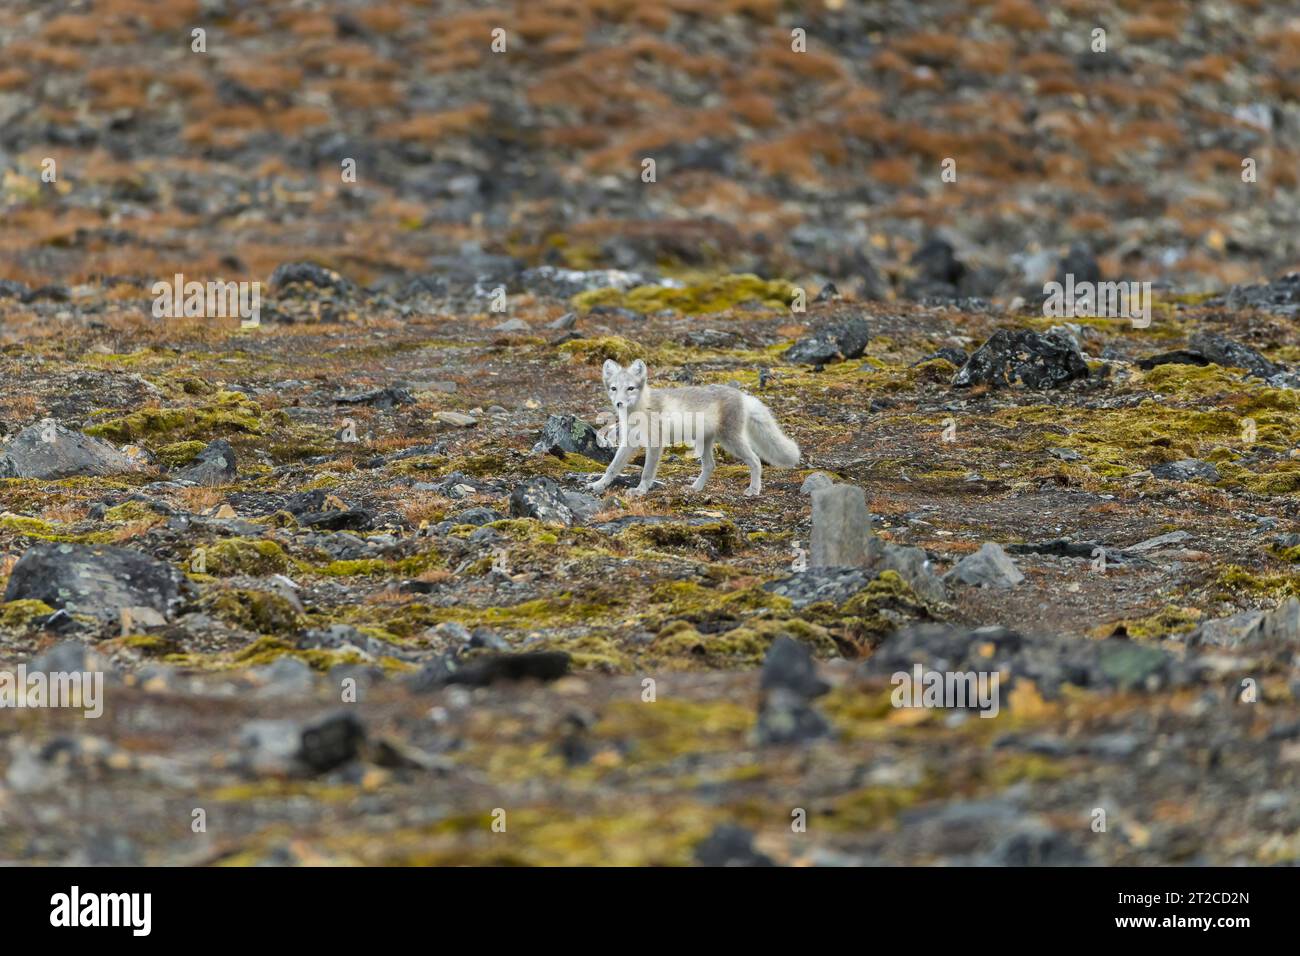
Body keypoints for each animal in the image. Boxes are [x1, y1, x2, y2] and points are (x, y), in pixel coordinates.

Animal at [589, 359, 800, 497]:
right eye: (614, 388)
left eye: (630, 388)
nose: (619, 403)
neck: (640, 410)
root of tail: (743, 396)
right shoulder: (629, 442)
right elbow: (612, 467)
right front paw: (599, 485)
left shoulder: (655, 443)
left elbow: (647, 472)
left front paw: (640, 490)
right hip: (703, 443)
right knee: (710, 465)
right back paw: (695, 488)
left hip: (731, 441)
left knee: (755, 460)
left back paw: (753, 490)